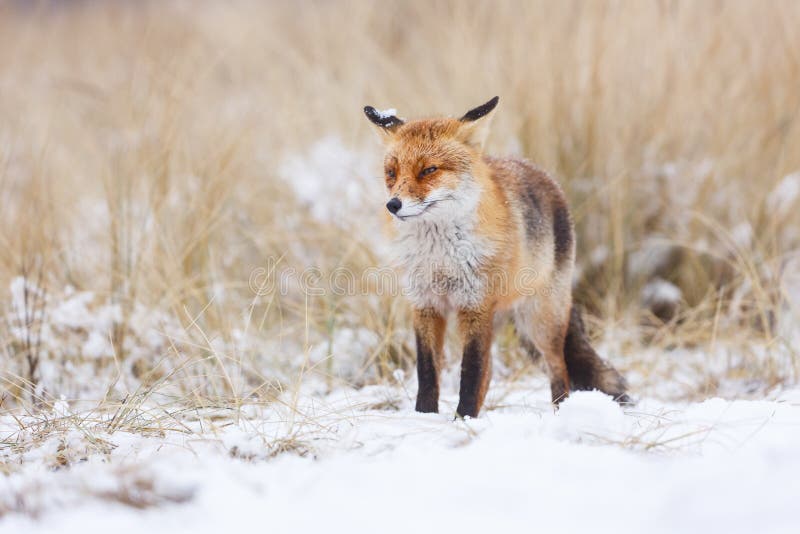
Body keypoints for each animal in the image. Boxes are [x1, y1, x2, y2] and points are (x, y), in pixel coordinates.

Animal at [363, 96, 629, 418]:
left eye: (428, 170)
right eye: (391, 173)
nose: (393, 204)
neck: (441, 258)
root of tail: (541, 174)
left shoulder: (475, 307)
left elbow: (470, 372)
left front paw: (463, 418)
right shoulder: (426, 305)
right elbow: (428, 373)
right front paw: (425, 417)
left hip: (539, 320)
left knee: (558, 367)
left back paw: (559, 413)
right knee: (491, 374)